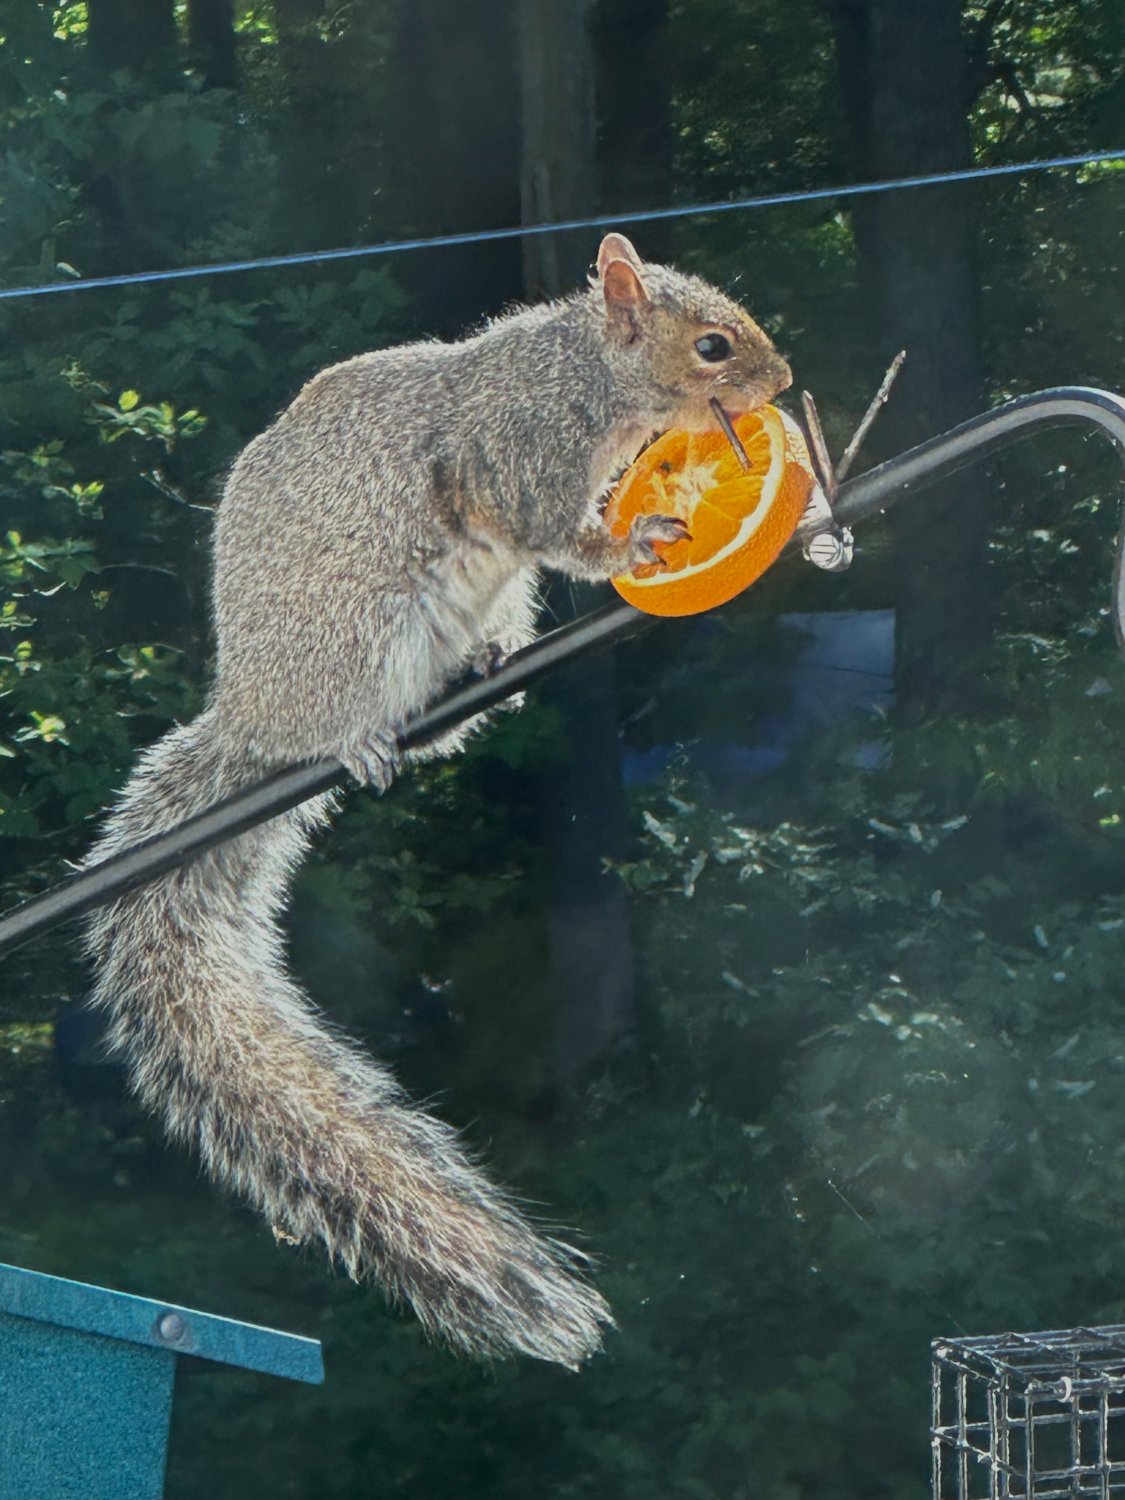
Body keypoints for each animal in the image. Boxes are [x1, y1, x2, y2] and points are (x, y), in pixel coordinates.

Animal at [83, 233, 792, 1368]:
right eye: (713, 346)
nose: (782, 384)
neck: (586, 375)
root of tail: (250, 715)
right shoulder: (514, 454)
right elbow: (549, 526)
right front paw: (633, 542)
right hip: (358, 635)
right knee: (340, 717)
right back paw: (360, 738)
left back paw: (484, 670)